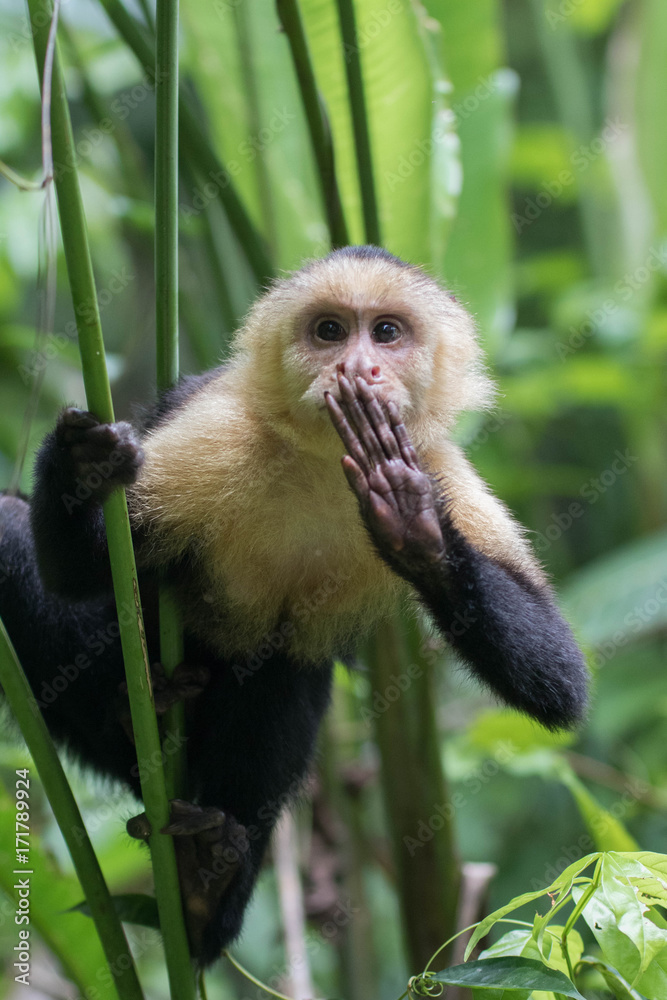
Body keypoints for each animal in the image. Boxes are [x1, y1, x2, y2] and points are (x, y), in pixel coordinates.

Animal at [0, 245, 588, 965]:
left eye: (386, 333)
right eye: (329, 331)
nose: (356, 367)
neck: (322, 461)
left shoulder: (443, 468)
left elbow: (557, 679)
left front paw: (410, 522)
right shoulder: (215, 432)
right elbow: (79, 570)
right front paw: (80, 463)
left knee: (286, 665)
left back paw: (206, 887)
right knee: (13, 531)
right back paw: (138, 717)